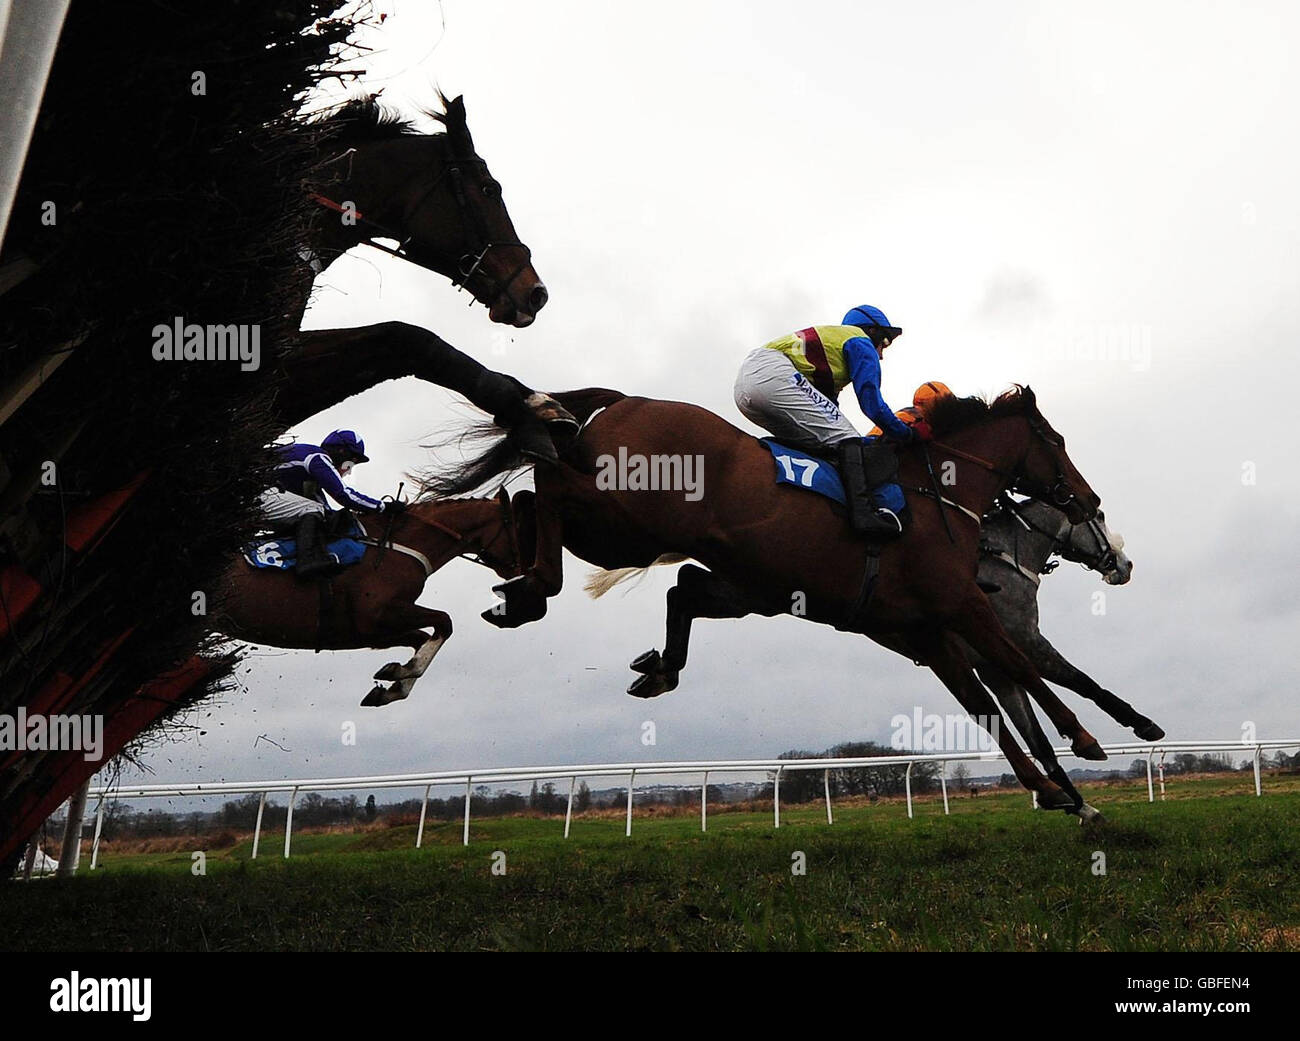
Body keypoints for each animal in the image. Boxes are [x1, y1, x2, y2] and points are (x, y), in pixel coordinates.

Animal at [215, 491, 525, 701]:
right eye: (518, 526)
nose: (522, 568)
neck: (395, 545)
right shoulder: (375, 616)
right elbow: (444, 622)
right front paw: (401, 674)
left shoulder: (369, 633)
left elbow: (421, 638)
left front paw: (394, 680)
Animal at [421, 384, 1112, 810]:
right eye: (1057, 442)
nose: (1090, 499)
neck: (938, 495)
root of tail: (626, 400)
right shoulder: (960, 605)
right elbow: (1022, 668)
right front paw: (1083, 742)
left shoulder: (928, 630)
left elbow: (984, 704)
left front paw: (1053, 790)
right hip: (627, 518)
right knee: (548, 487)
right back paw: (532, 583)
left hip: (658, 549)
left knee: (623, 552)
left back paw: (547, 602)